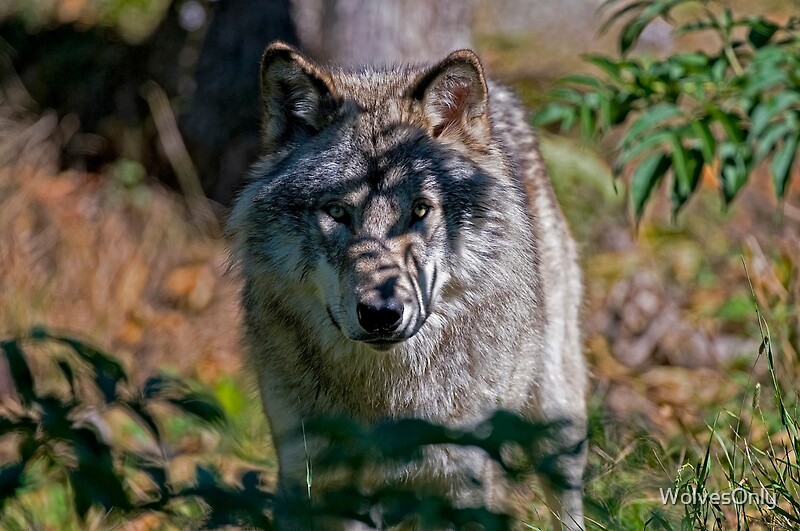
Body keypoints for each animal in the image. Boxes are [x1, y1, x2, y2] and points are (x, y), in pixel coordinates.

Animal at [228, 41, 587, 530]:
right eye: (337, 212)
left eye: (419, 210)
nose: (381, 314)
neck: (387, 396)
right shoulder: (322, 480)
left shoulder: (462, 479)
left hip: (555, 414)